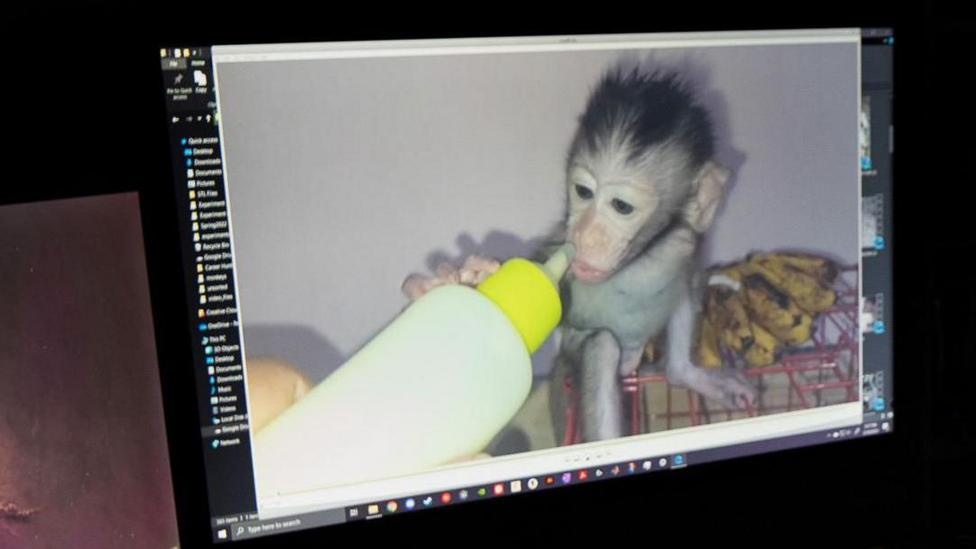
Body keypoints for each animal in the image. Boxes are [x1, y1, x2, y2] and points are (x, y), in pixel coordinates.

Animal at [403, 66, 758, 445]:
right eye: (583, 192)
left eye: (621, 207)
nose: (584, 234)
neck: (640, 260)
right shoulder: (562, 259)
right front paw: (453, 279)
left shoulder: (683, 241)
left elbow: (690, 274)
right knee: (602, 347)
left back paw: (680, 372)